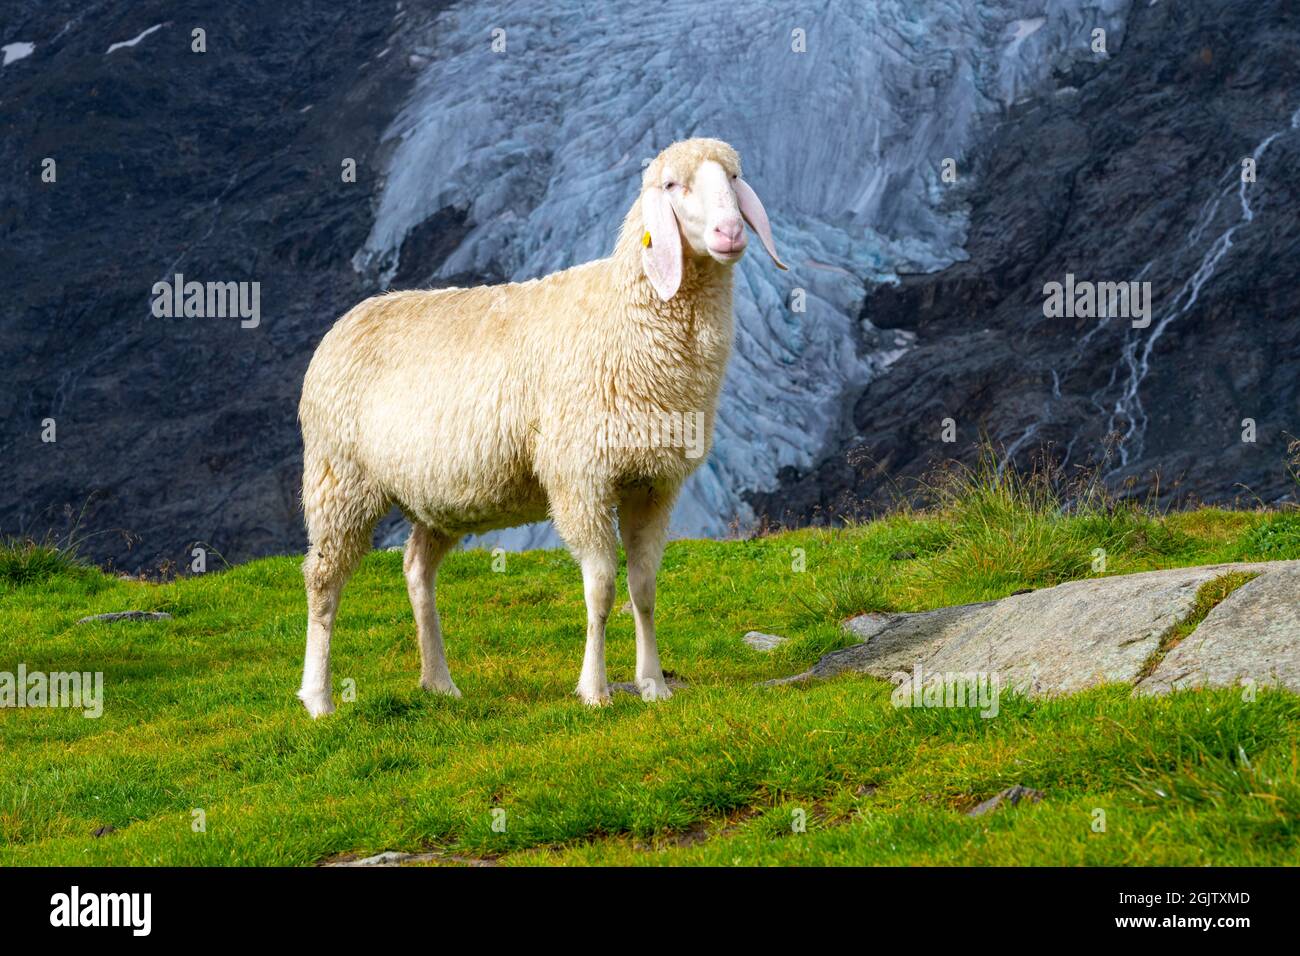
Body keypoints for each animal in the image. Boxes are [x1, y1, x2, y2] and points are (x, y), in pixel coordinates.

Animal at [296, 137, 787, 717]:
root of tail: (345, 321)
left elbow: (643, 587)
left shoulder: (653, 483)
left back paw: (438, 681)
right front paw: (595, 690)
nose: (730, 233)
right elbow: (602, 588)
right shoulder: (581, 478)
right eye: (671, 185)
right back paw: (319, 698)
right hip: (338, 477)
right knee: (323, 581)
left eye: (733, 177)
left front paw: (653, 685)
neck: (627, 319)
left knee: (417, 570)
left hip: (435, 496)